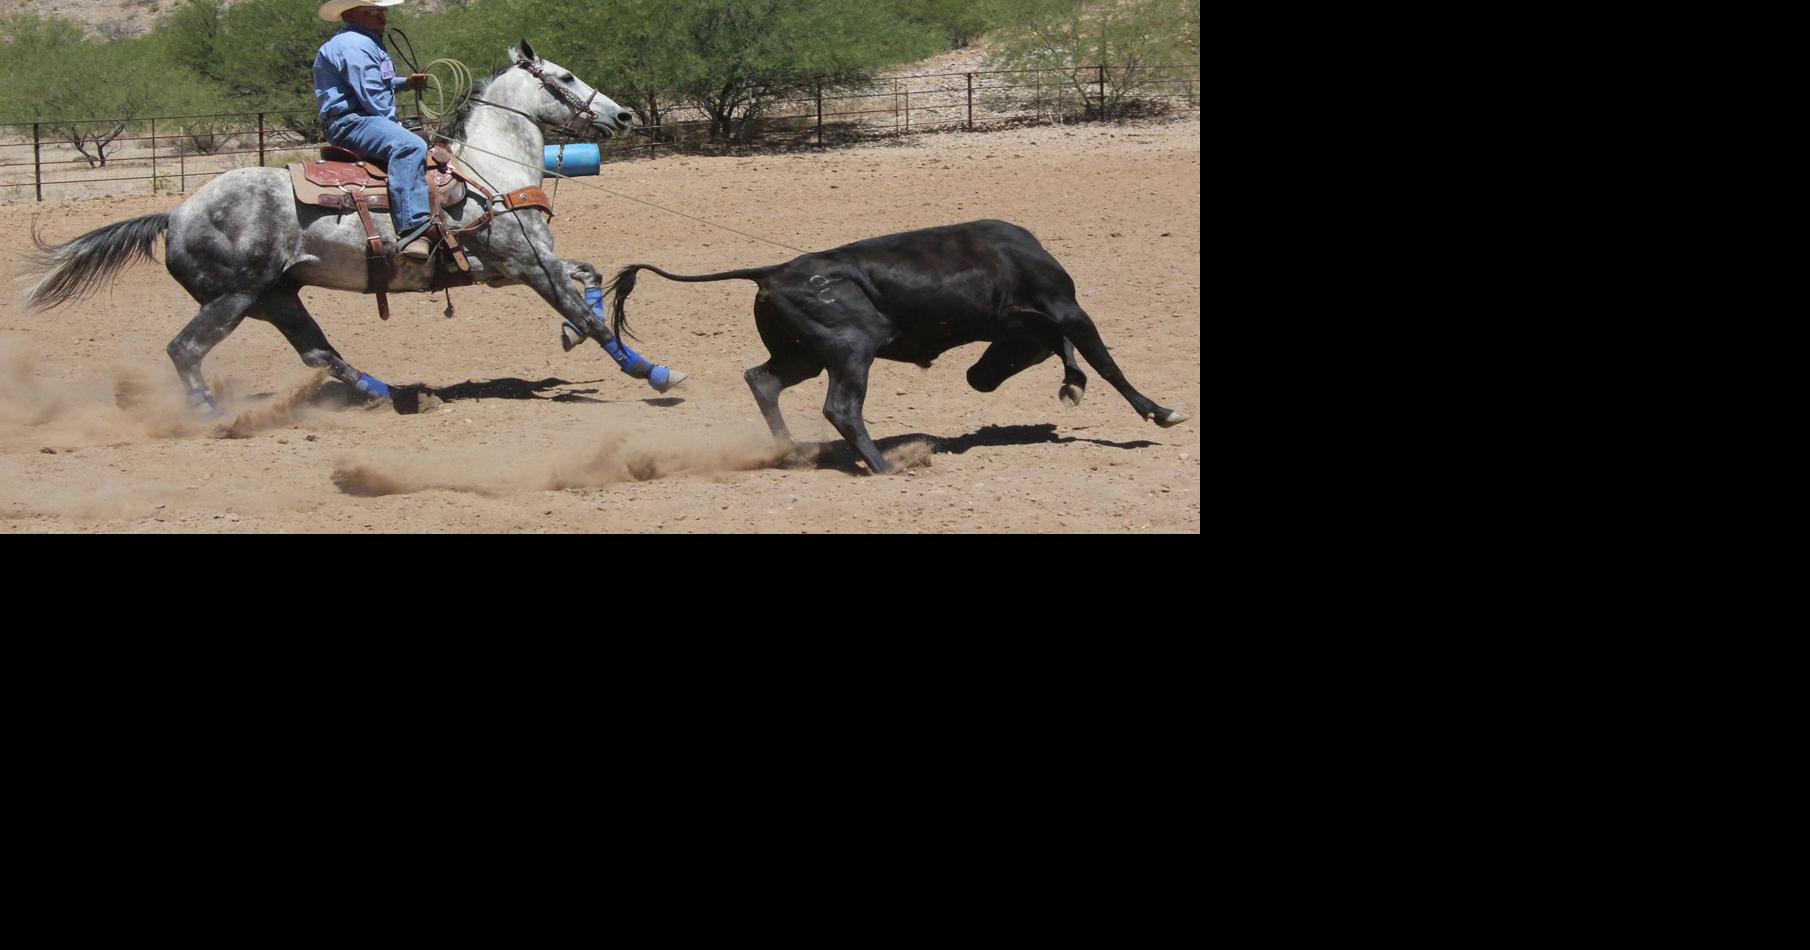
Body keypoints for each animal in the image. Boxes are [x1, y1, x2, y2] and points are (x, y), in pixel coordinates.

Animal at [606, 219, 1190, 475]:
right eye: (1017, 348)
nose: (979, 378)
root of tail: (771, 272)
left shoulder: (1041, 319)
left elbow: (1075, 354)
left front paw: (1073, 385)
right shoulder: (1067, 309)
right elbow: (1104, 361)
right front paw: (1160, 412)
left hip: (802, 355)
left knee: (763, 379)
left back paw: (793, 451)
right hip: (849, 351)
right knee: (841, 408)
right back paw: (884, 465)